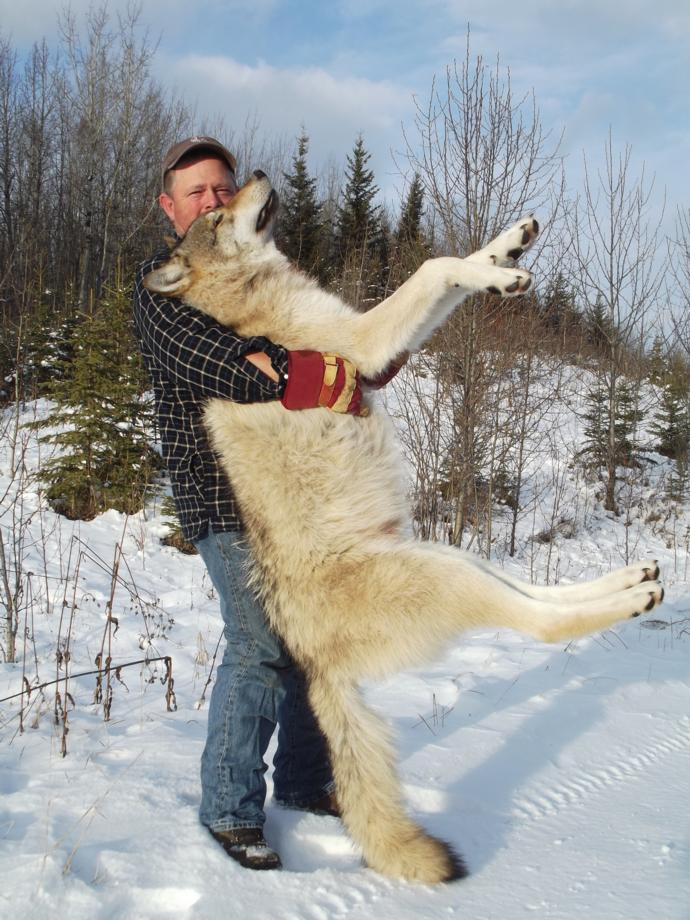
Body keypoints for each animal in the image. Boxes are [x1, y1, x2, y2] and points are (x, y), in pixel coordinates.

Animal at [144, 170, 664, 884]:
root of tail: (315, 665)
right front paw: (503, 278)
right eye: (216, 213)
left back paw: (637, 576)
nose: (256, 175)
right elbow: (435, 266)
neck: (248, 299)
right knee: (541, 623)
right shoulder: (363, 341)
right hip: (445, 576)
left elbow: (457, 262)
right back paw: (638, 597)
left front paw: (507, 247)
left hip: (451, 559)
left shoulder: (375, 351)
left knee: (539, 595)